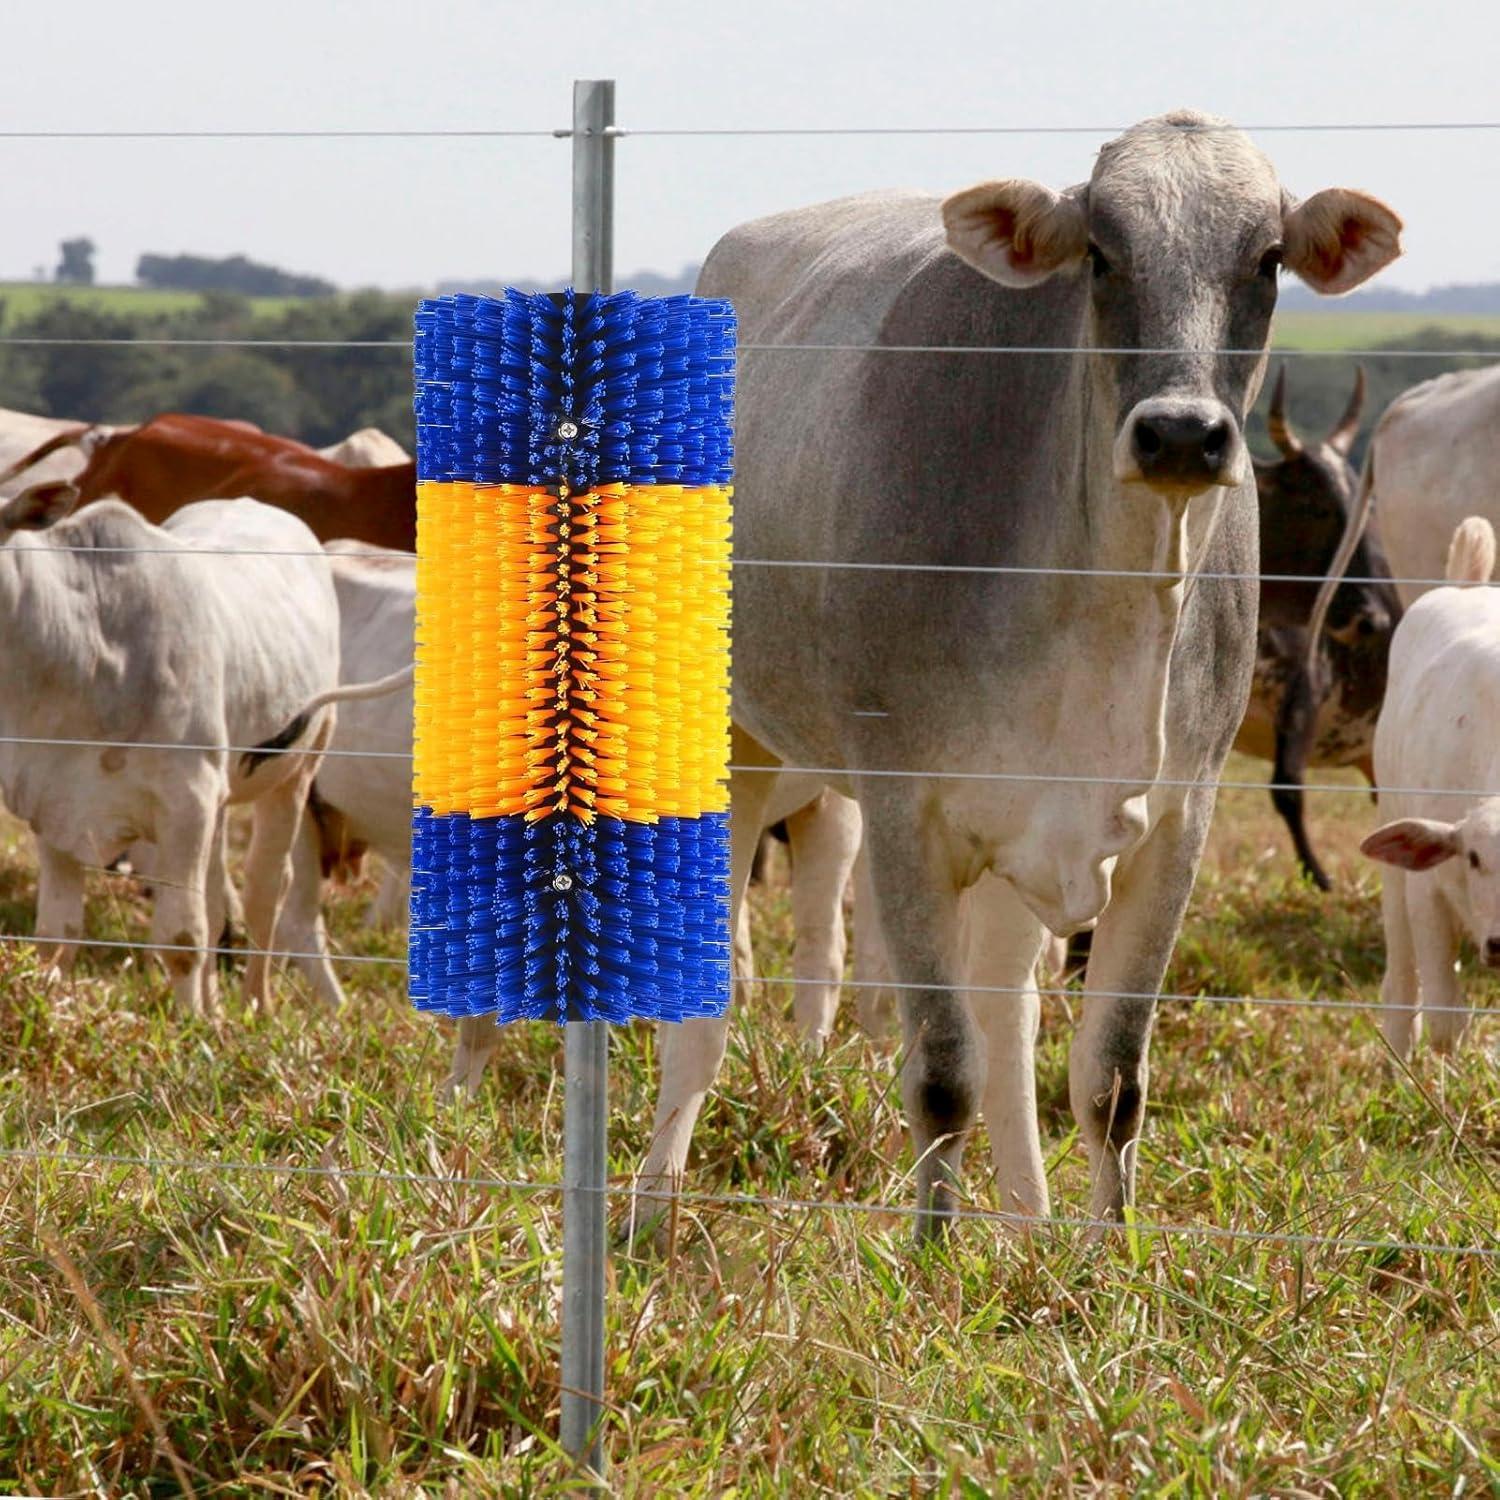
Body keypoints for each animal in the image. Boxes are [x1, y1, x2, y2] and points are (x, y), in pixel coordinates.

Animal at [0, 487, 405, 1015]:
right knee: (218, 898)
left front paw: (190, 1022)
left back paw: (256, 1004)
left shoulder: (186, 802)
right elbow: (57, 935)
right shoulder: (52, 809)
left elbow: (182, 938)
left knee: (265, 895)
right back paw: (215, 1004)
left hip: (293, 779)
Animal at [1239, 365, 1400, 889]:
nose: (1374, 619)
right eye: (1315, 505)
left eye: (1362, 503)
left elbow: (1287, 788)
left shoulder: (1304, 694)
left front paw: (1321, 879)